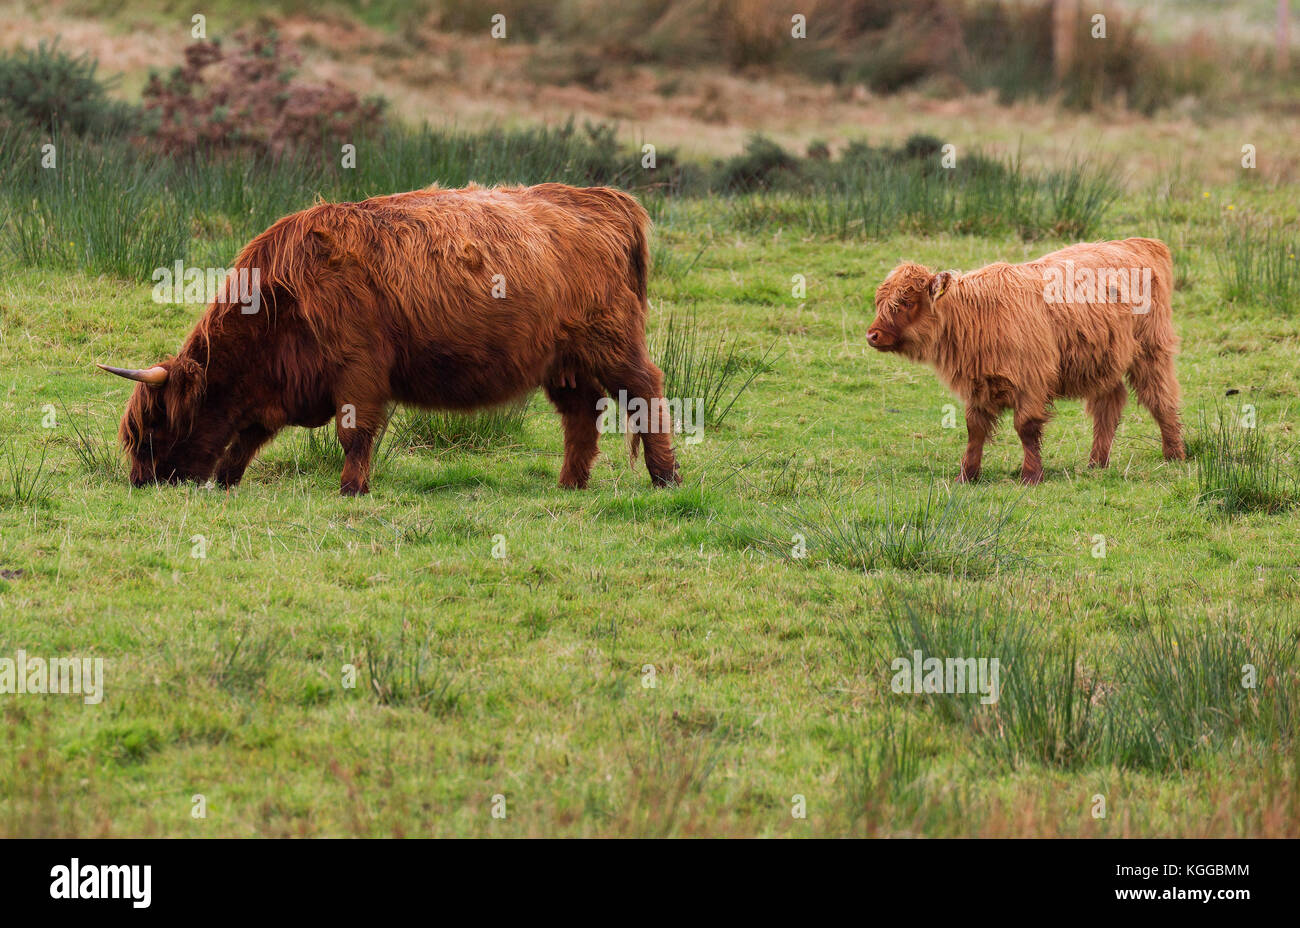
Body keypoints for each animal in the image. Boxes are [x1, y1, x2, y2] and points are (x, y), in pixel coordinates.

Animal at [98, 183, 681, 495]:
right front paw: (225, 479)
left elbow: (354, 434)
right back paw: (569, 484)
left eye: (152, 428)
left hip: (612, 343)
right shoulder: (283, 387)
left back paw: (666, 477)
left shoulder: (357, 370)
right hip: (563, 361)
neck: (278, 302)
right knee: (581, 414)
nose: (141, 482)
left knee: (646, 391)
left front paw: (351, 489)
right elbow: (247, 436)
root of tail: (600, 198)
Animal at [867, 238, 1185, 484]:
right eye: (880, 302)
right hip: (1103, 360)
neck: (978, 316)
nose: (873, 335)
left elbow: (1026, 428)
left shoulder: (1031, 379)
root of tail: (1135, 243)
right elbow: (975, 430)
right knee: (1109, 403)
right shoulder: (977, 385)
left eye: (906, 302)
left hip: (1151, 351)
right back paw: (1096, 463)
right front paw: (967, 475)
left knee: (1162, 399)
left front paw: (1031, 475)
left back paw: (1174, 455)